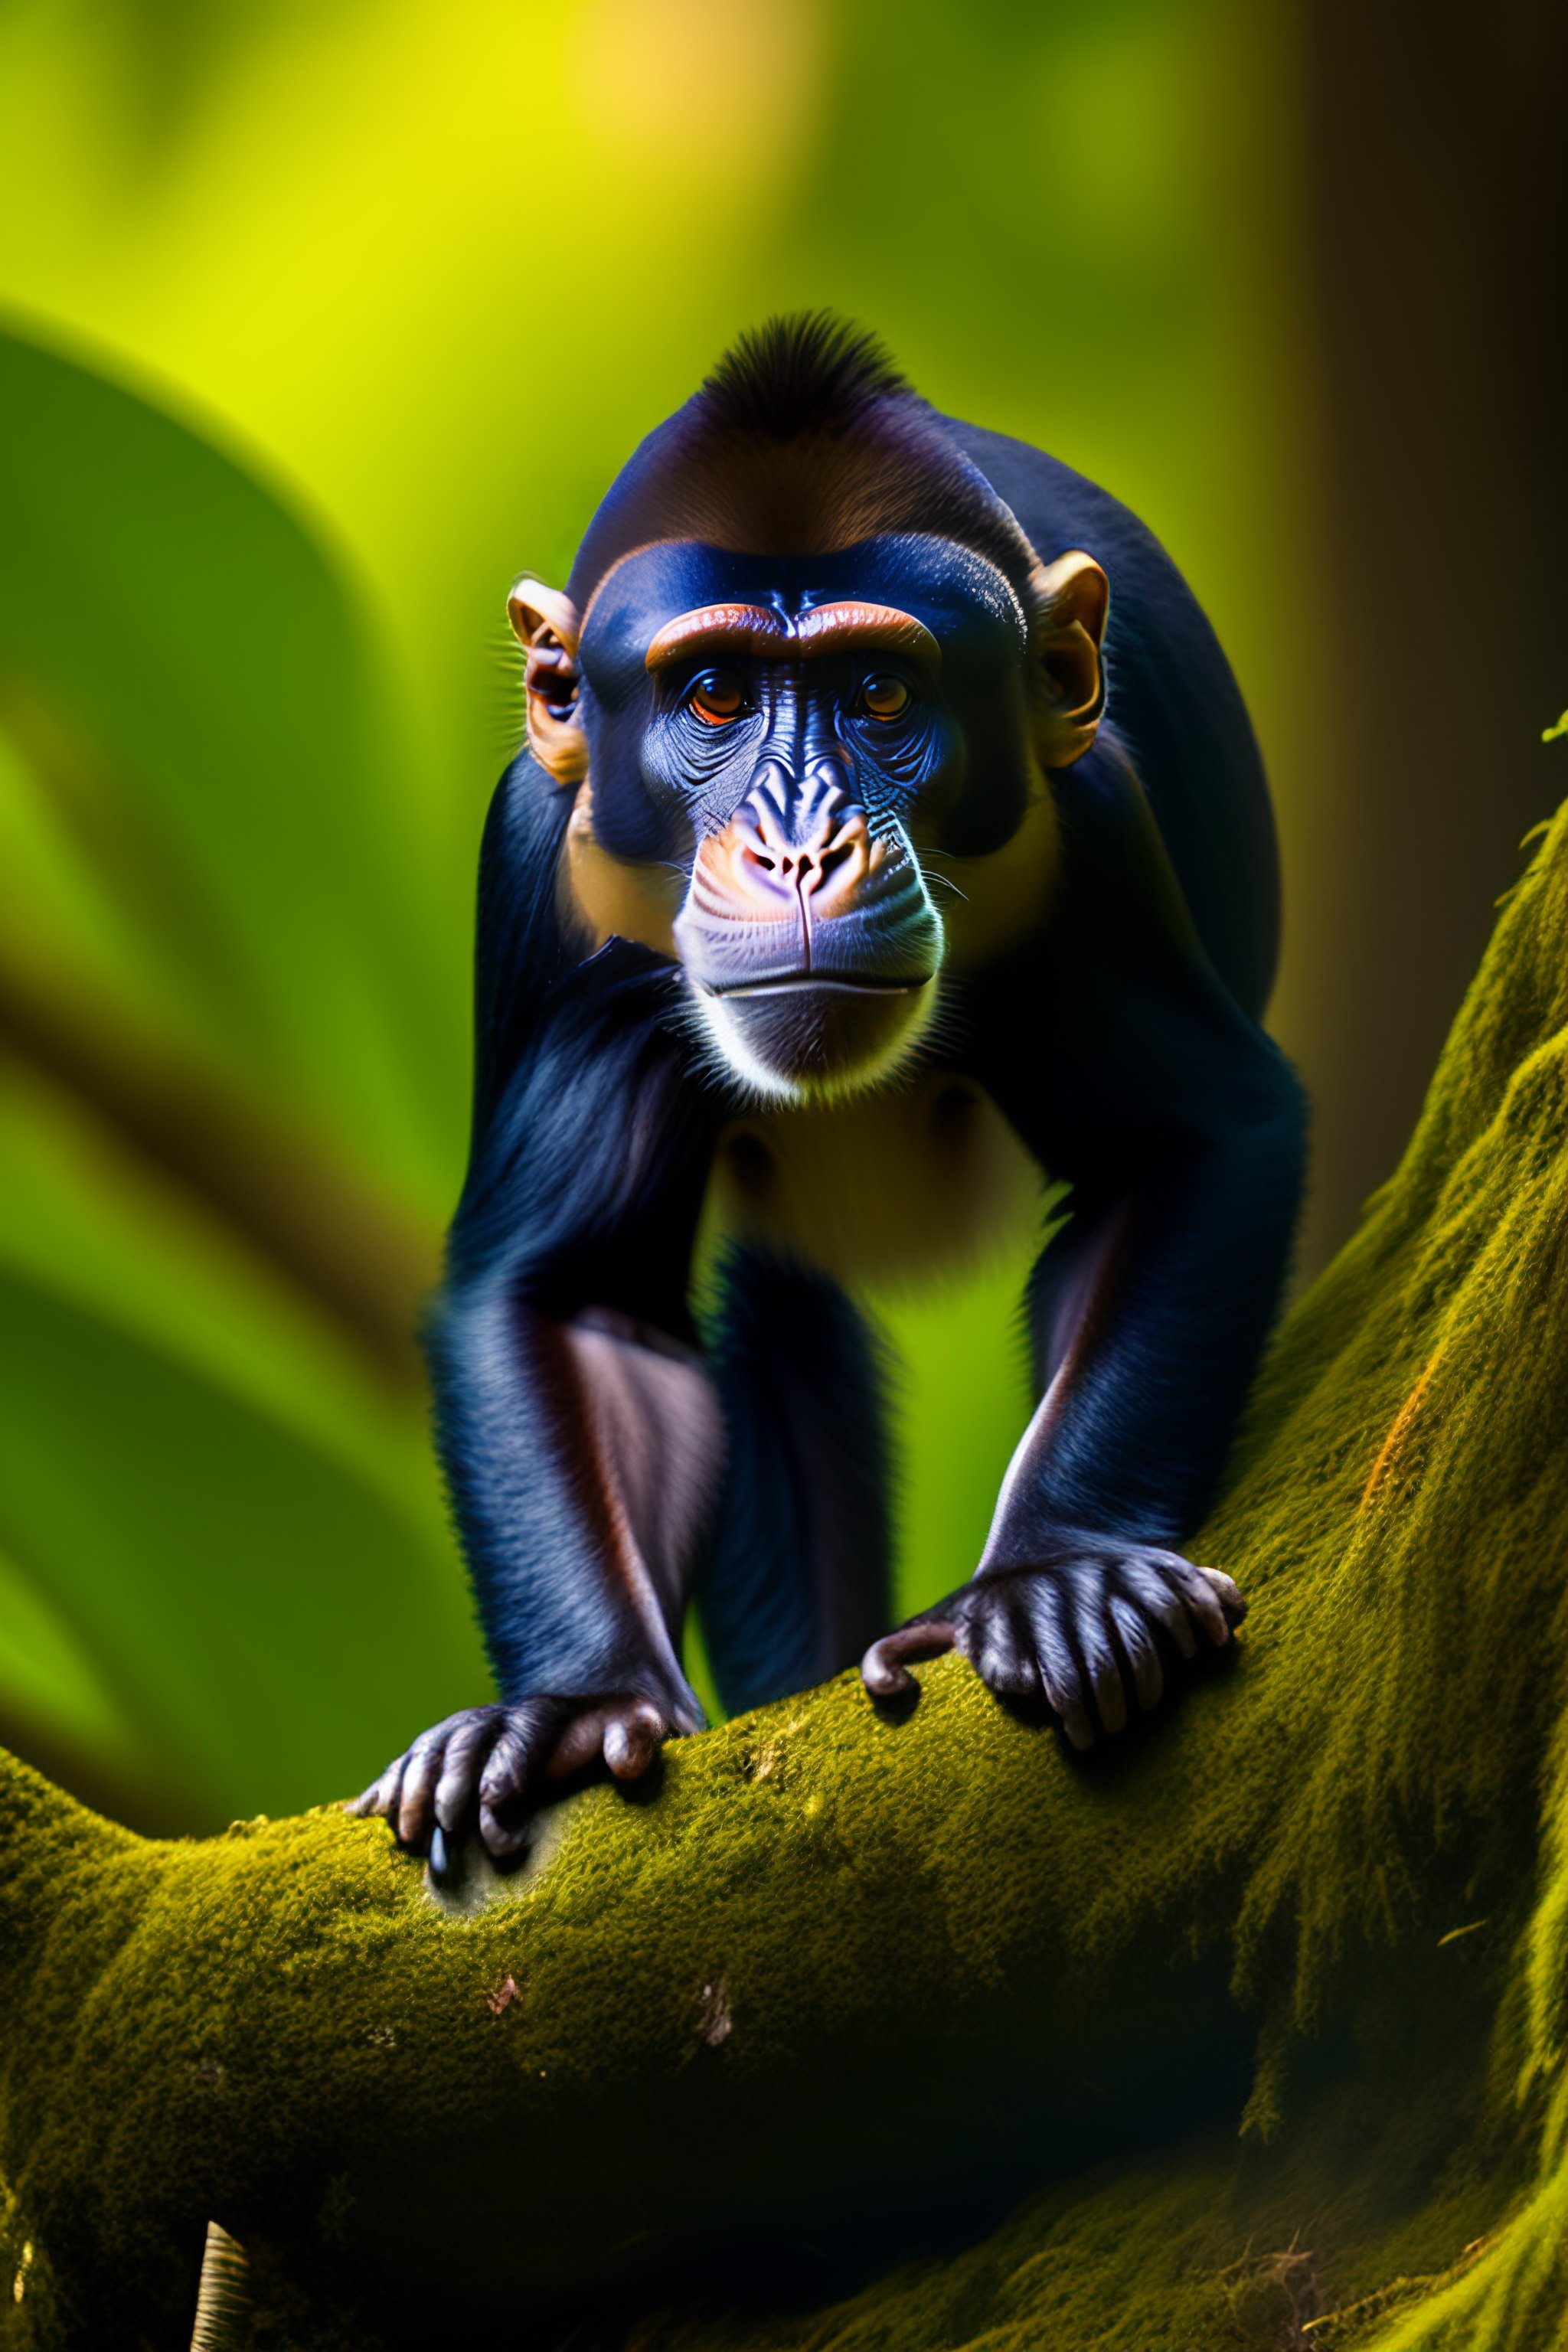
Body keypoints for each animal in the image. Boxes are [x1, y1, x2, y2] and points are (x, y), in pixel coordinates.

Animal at [350, 315, 1306, 1878]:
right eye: (715, 695)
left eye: (879, 694)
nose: (799, 845)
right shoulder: (535, 876)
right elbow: (573, 1295)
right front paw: (571, 1707)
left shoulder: (1091, 827)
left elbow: (1196, 1142)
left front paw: (1061, 1577)